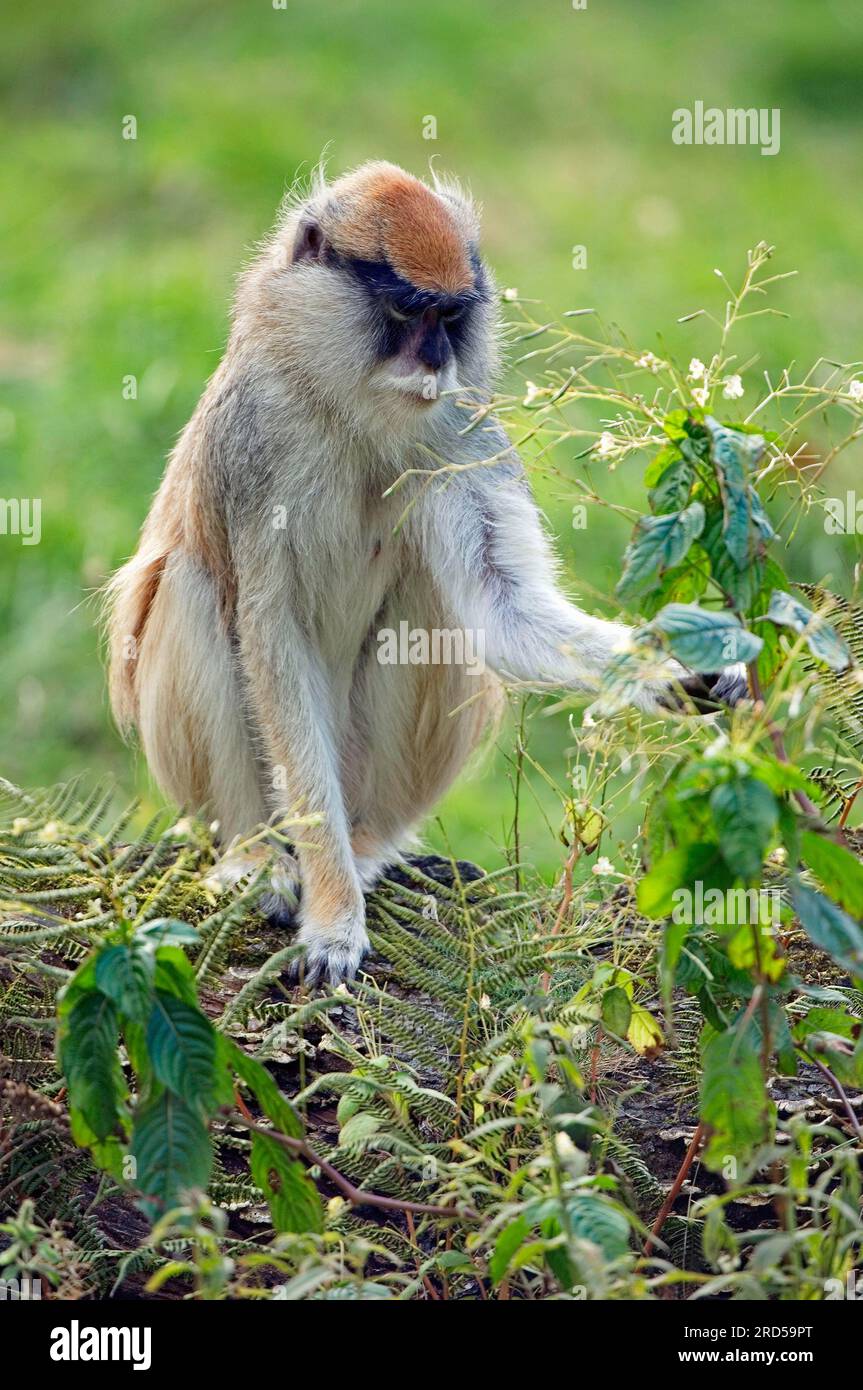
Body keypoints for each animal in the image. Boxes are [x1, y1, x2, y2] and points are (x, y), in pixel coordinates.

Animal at [105, 160, 745, 984]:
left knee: (430, 610)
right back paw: (257, 855)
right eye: (406, 310)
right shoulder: (252, 442)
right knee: (187, 585)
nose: (435, 360)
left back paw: (367, 850)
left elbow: (504, 609)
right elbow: (272, 640)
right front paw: (332, 916)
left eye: (450, 317)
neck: (346, 408)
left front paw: (684, 669)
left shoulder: (461, 432)